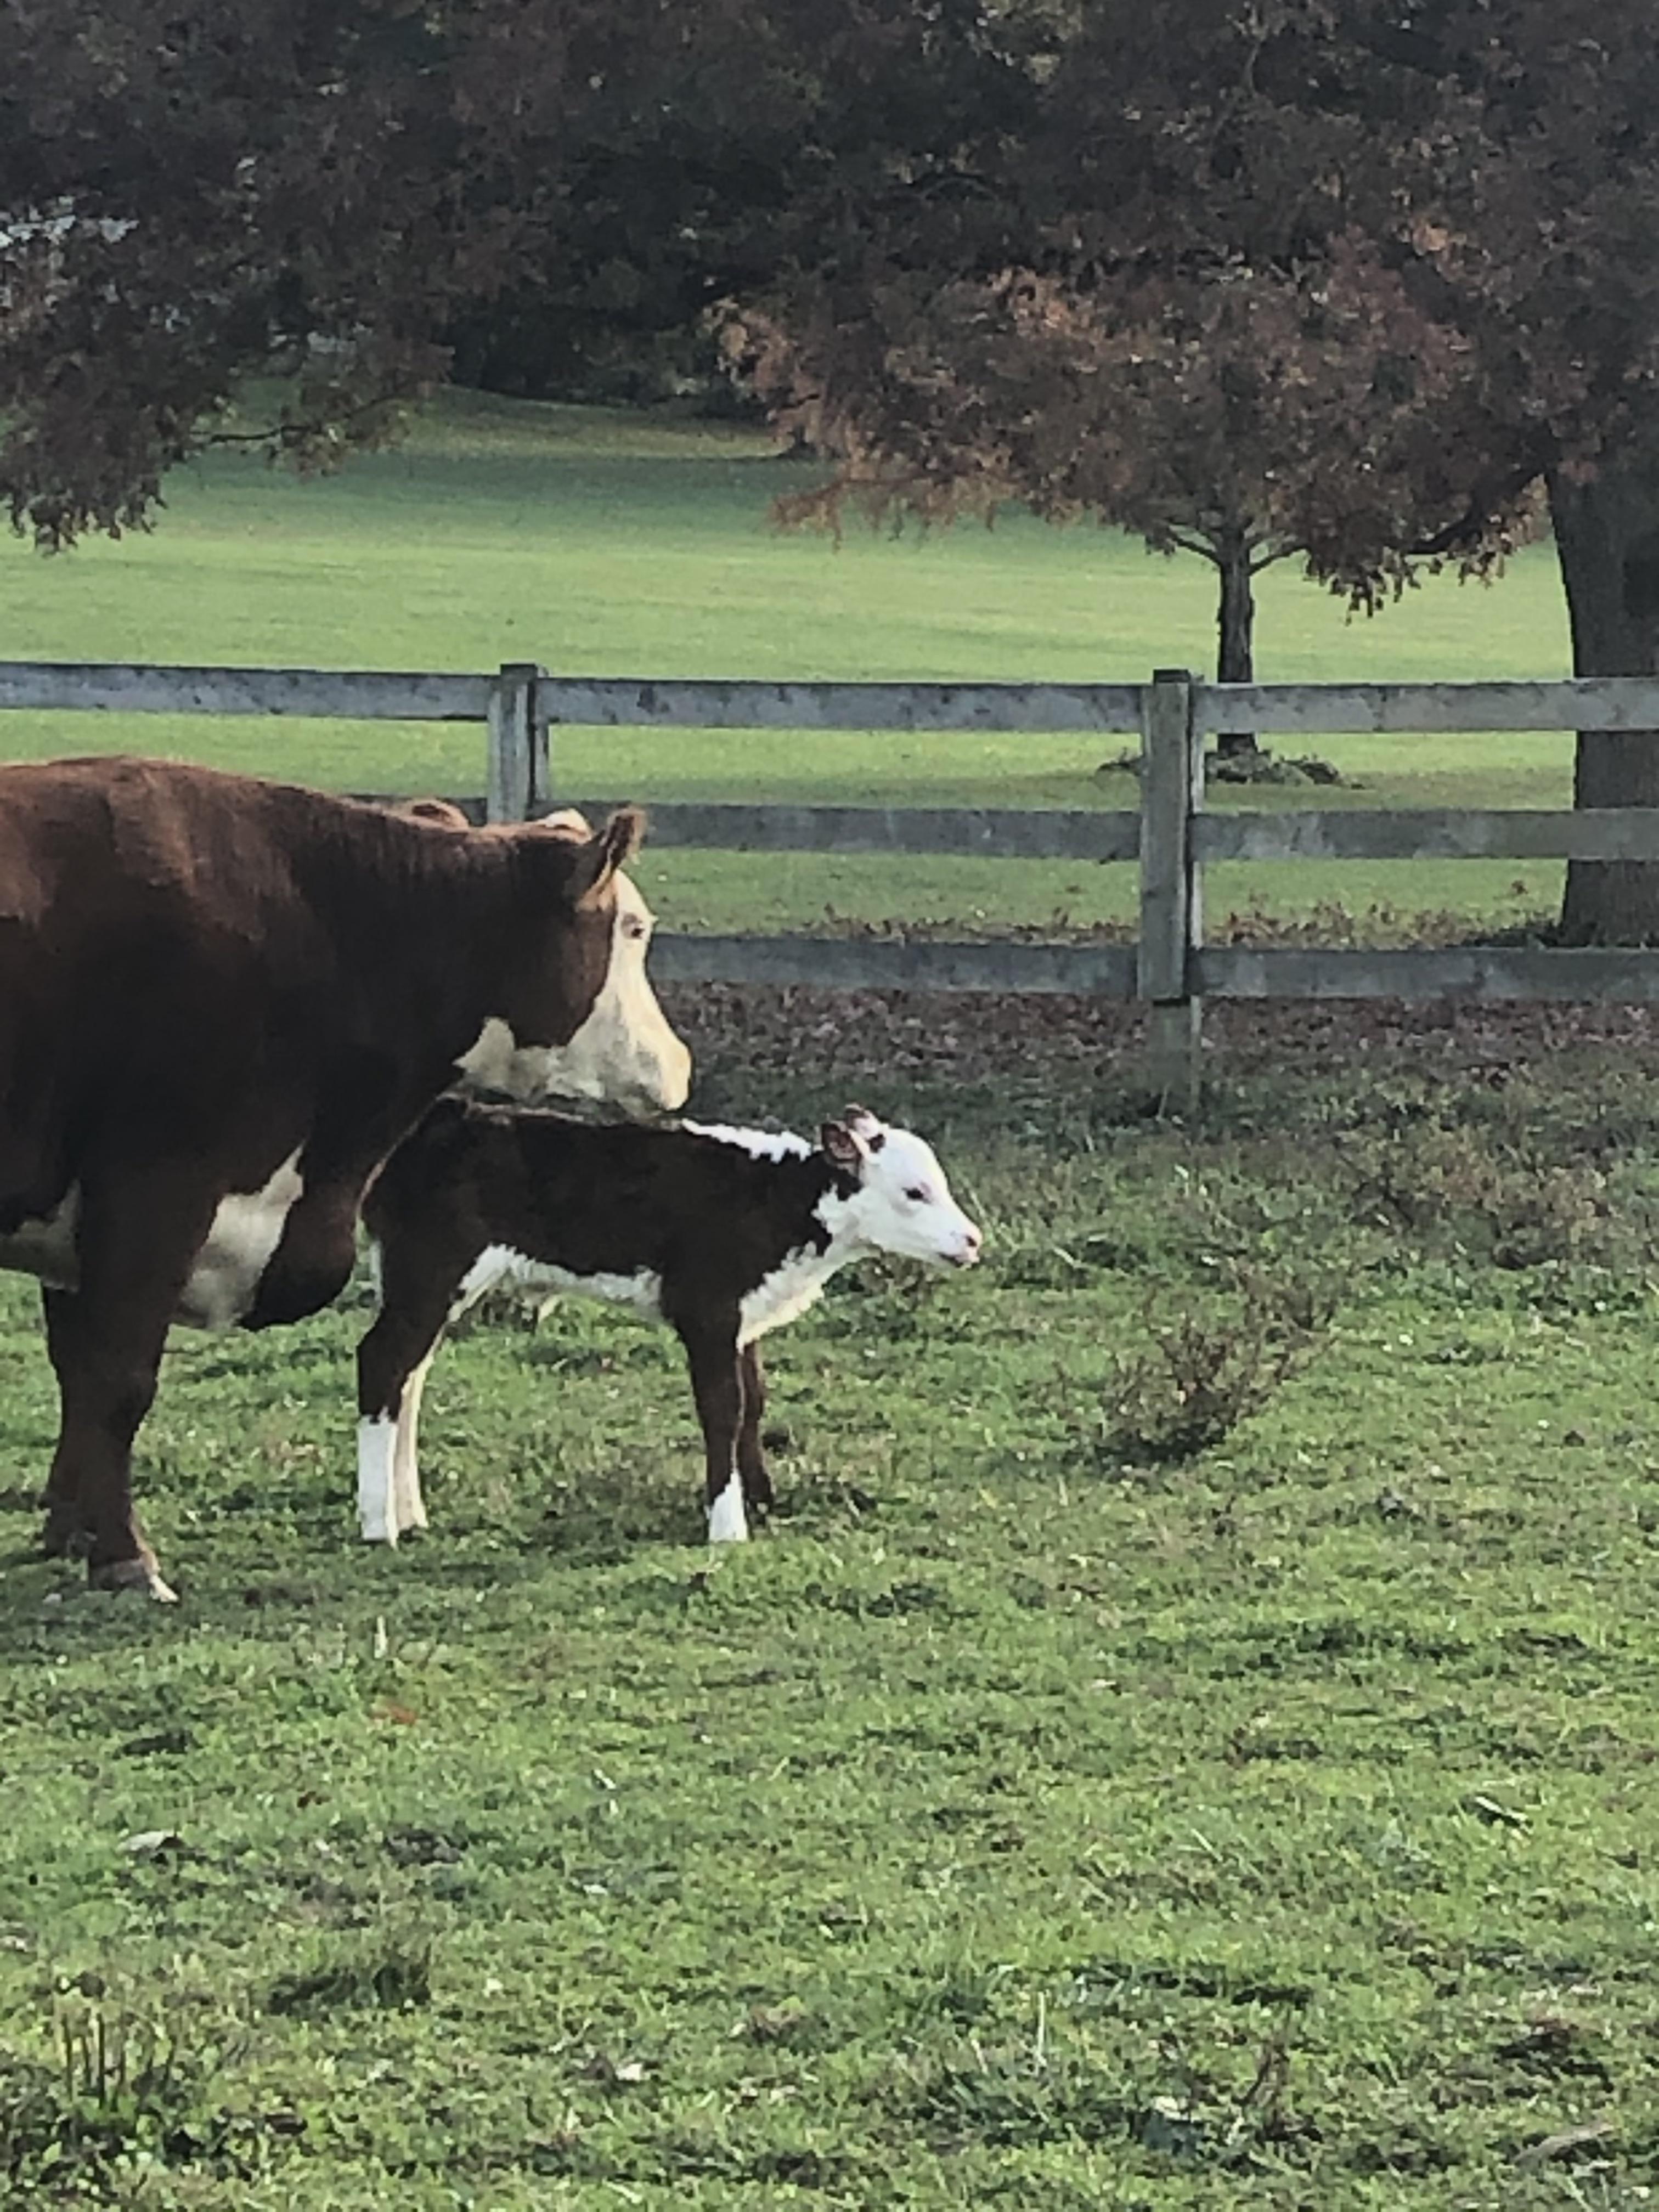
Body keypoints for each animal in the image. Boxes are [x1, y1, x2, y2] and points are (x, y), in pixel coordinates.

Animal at [0, 755, 691, 1599]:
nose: (680, 1067)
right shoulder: (152, 1192)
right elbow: (119, 1378)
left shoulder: (73, 1219)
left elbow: (78, 1372)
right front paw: (125, 1557)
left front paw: (70, 1531)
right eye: (634, 930)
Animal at [355, 1099, 983, 1548]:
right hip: (430, 1274)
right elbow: (723, 1408)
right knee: (382, 1362)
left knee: (410, 1378)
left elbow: (754, 1401)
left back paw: (410, 1513)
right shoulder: (706, 1312)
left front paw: (762, 1499)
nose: (973, 1240)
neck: (774, 1201)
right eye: (914, 1192)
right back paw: (378, 1522)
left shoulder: (744, 1319)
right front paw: (728, 1526)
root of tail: (444, 1117)